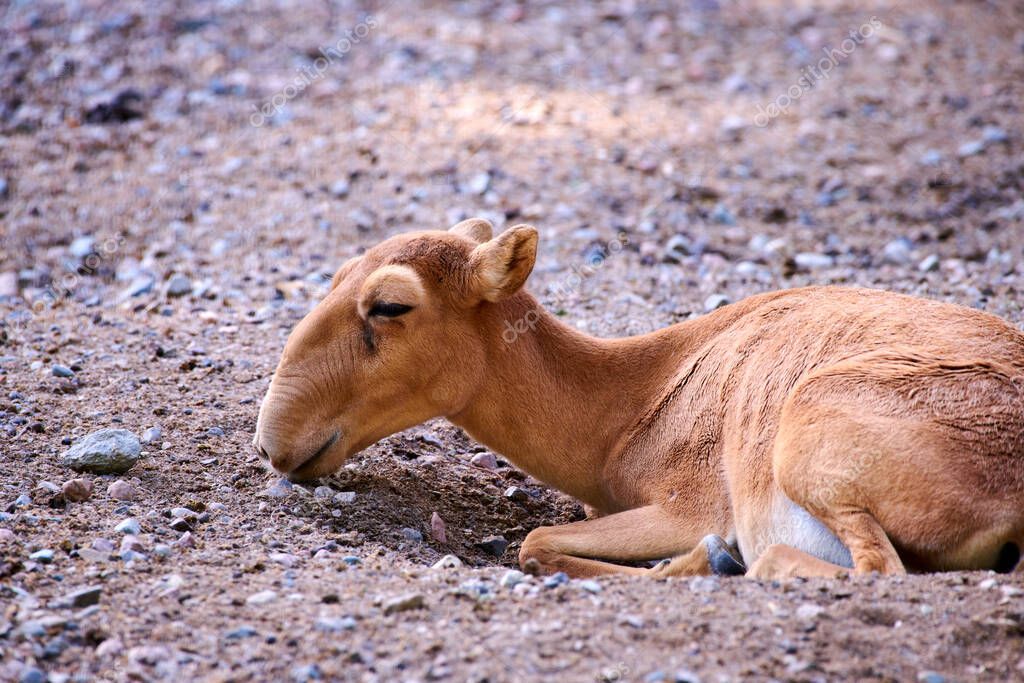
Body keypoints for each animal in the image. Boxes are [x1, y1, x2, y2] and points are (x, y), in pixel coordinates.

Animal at [254, 219, 1024, 579]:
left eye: (390, 304)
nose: (274, 441)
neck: (634, 398)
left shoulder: (689, 508)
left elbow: (535, 539)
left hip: (810, 451)